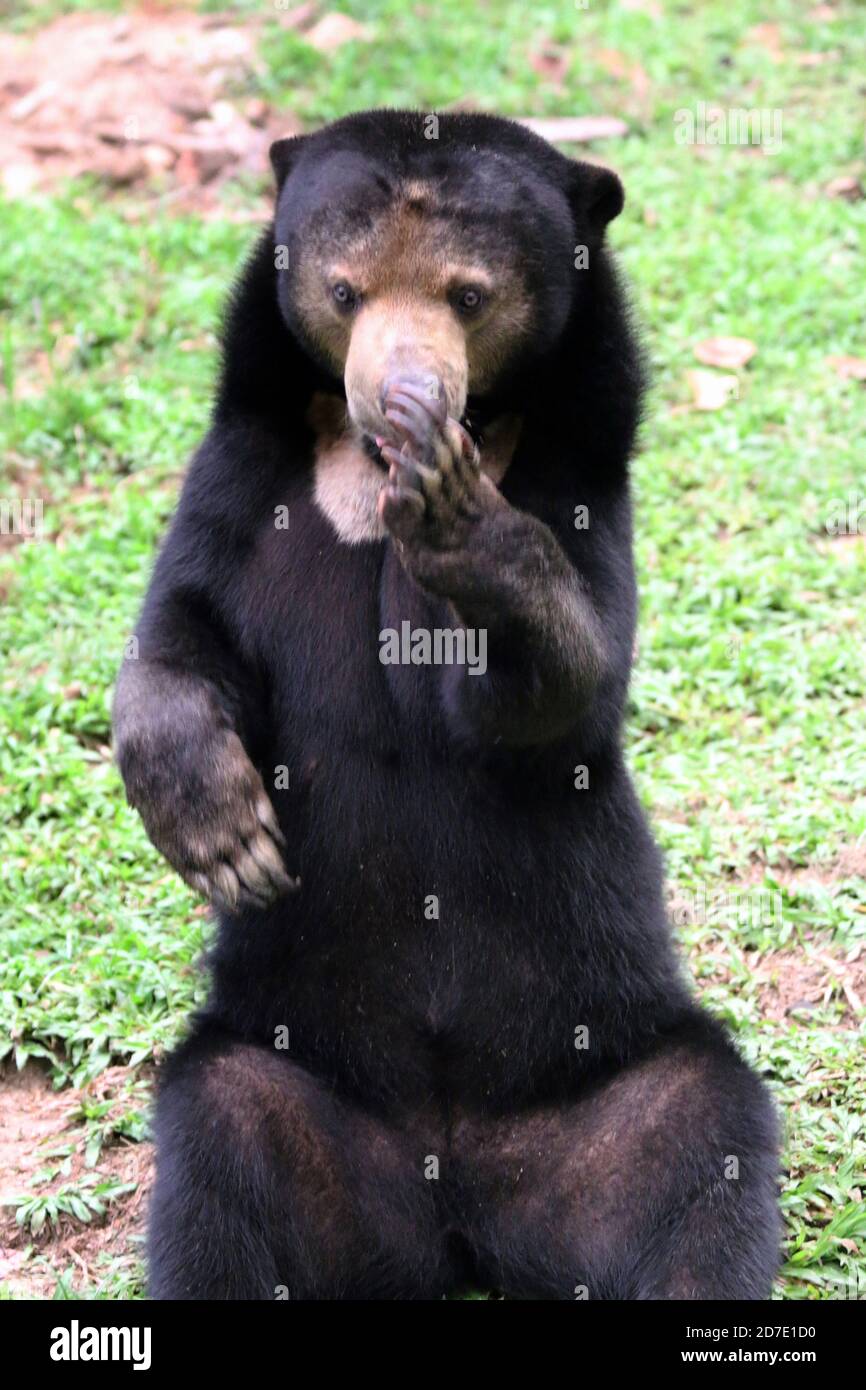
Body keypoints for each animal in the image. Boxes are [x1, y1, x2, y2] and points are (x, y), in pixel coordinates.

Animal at [112, 109, 781, 1300]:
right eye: (344, 291)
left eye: (467, 296)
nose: (401, 397)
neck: (366, 473)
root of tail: (452, 1206)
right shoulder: (245, 466)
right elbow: (184, 626)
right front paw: (220, 832)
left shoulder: (577, 473)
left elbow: (561, 687)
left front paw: (466, 526)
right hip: (290, 1078)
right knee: (220, 1163)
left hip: (606, 1078)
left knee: (703, 1158)